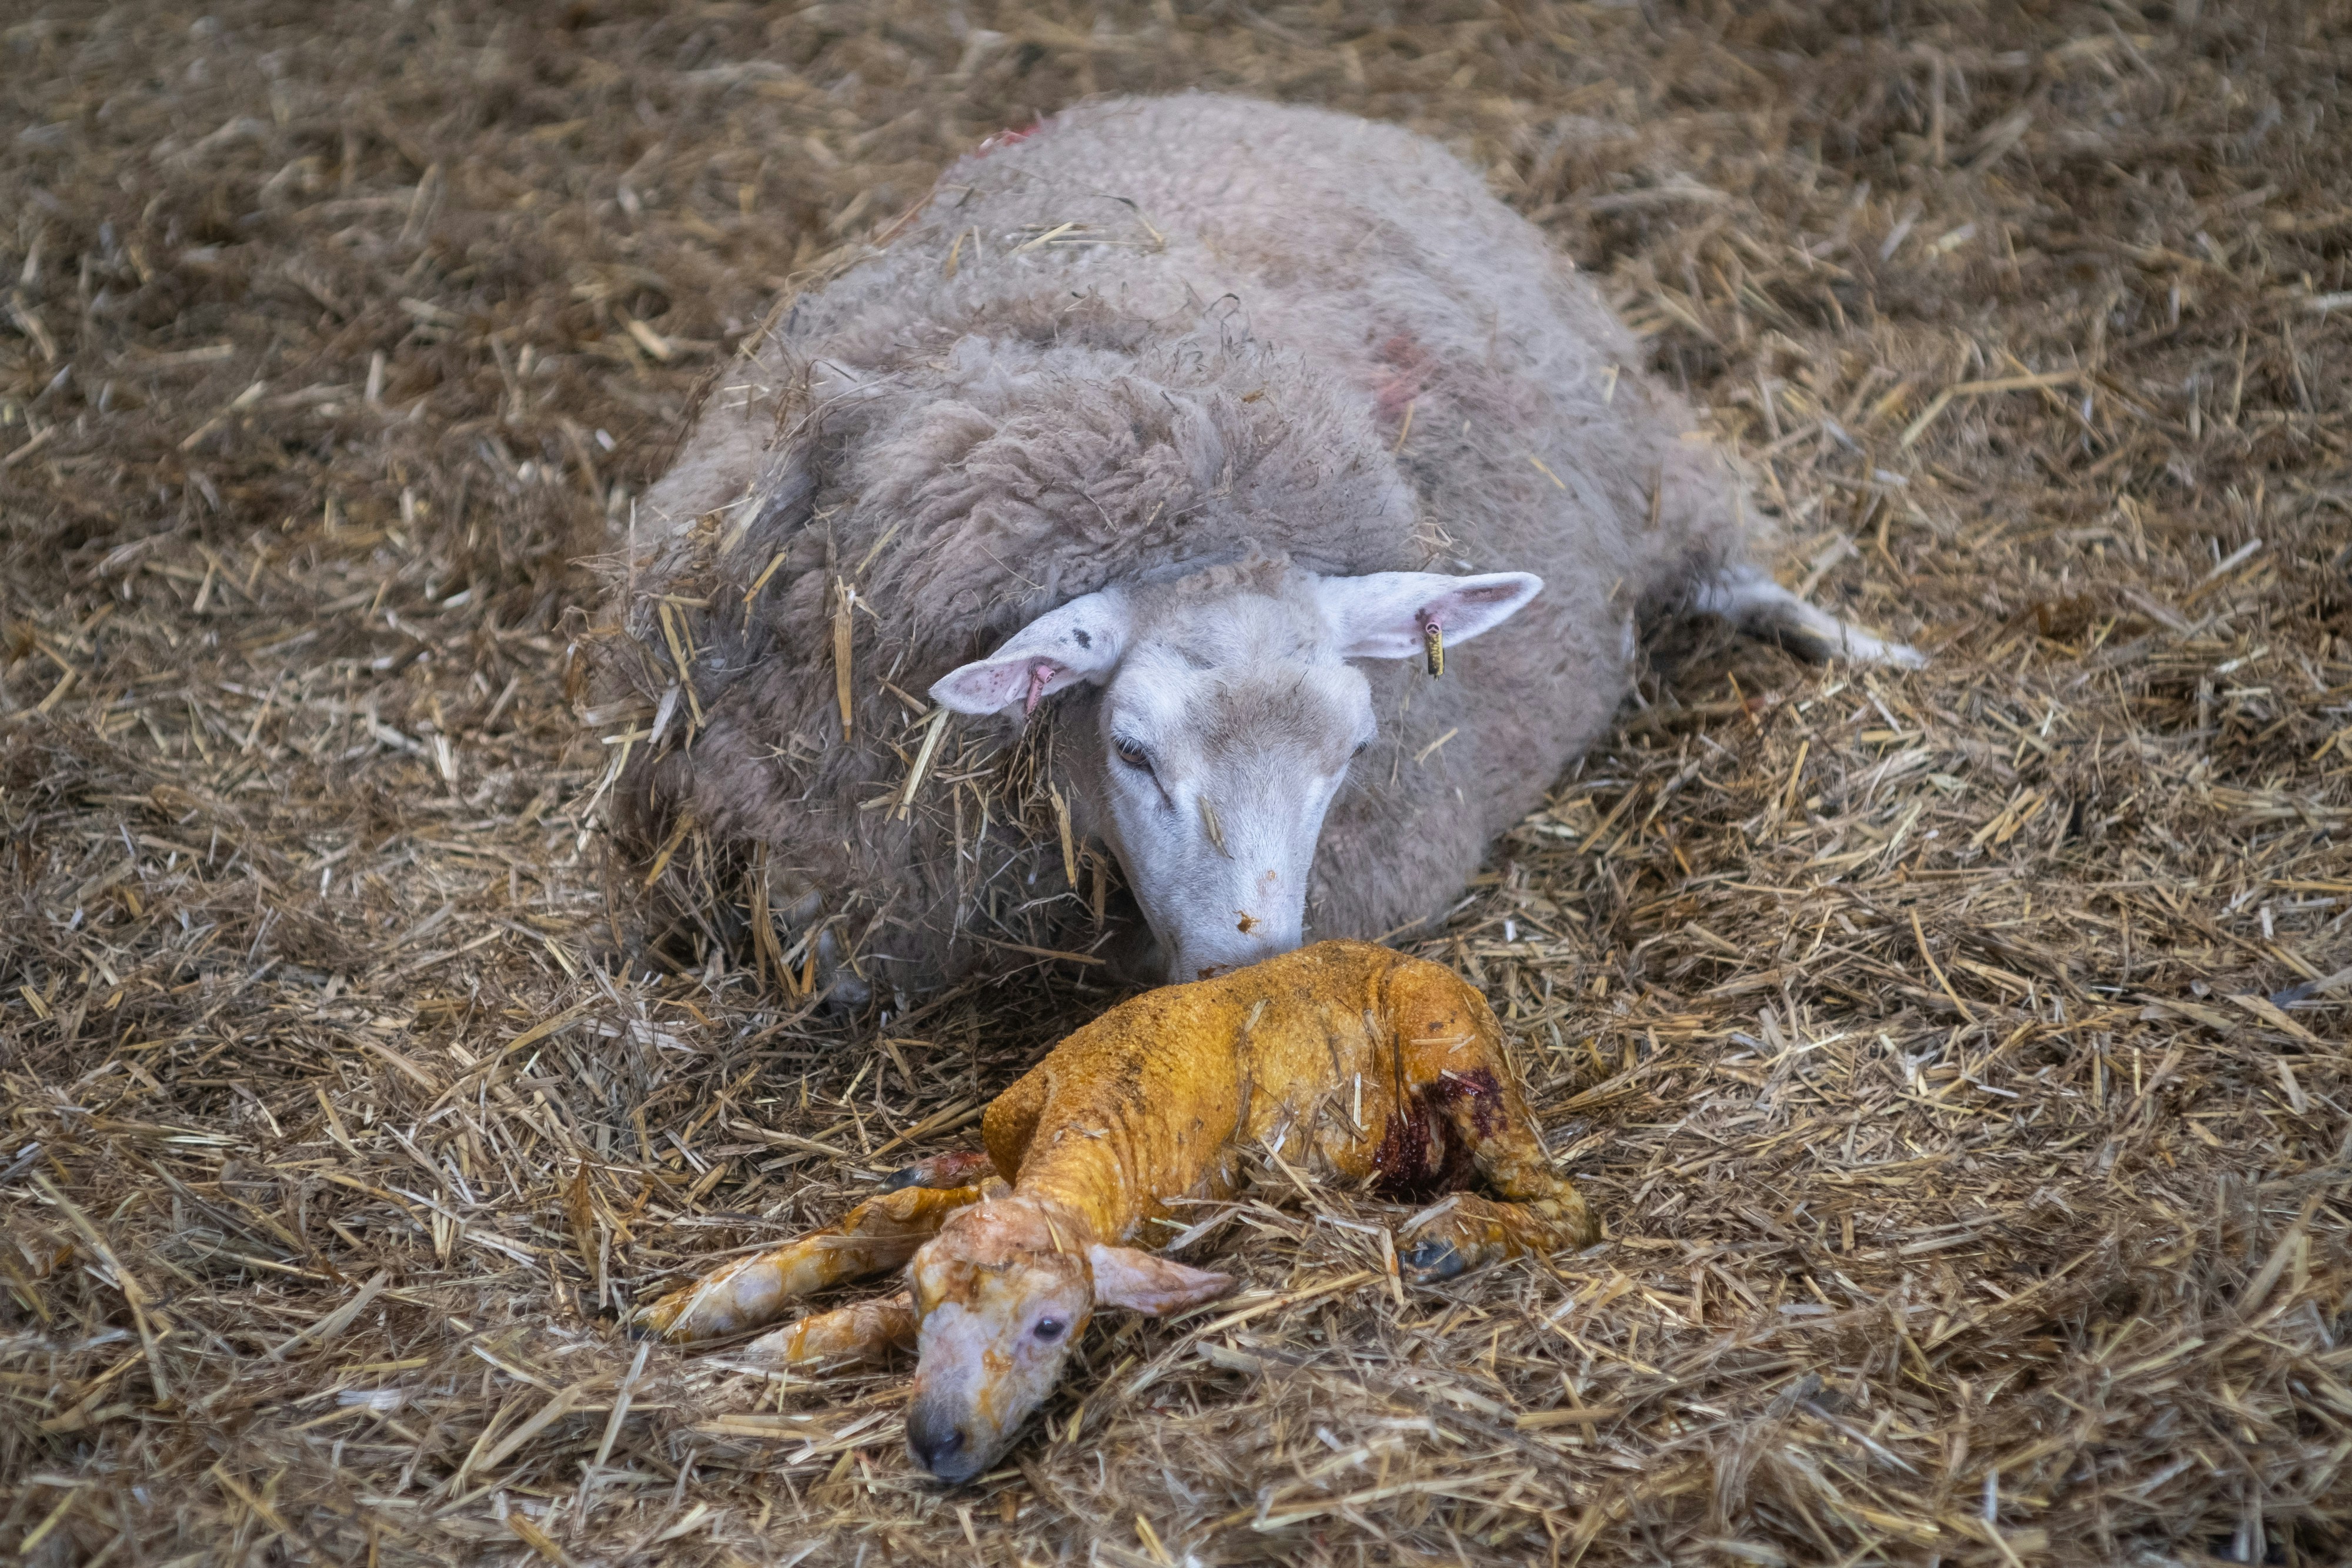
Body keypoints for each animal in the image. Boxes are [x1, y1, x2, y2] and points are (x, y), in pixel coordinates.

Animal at [597, 94, 1917, 994]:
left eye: (1354, 751)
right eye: (1130, 751)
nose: (1250, 966)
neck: (1191, 539)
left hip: (1655, 472)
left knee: (1737, 573)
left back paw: (1869, 650)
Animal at [631, 940, 1596, 1483]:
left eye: (1052, 1325)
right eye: (924, 1300)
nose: (938, 1443)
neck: (1097, 1121)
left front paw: (776, 1347)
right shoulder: (1012, 1173)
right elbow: (876, 1221)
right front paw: (697, 1306)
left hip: (1454, 1050)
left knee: (1565, 1205)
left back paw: (1452, 1238)